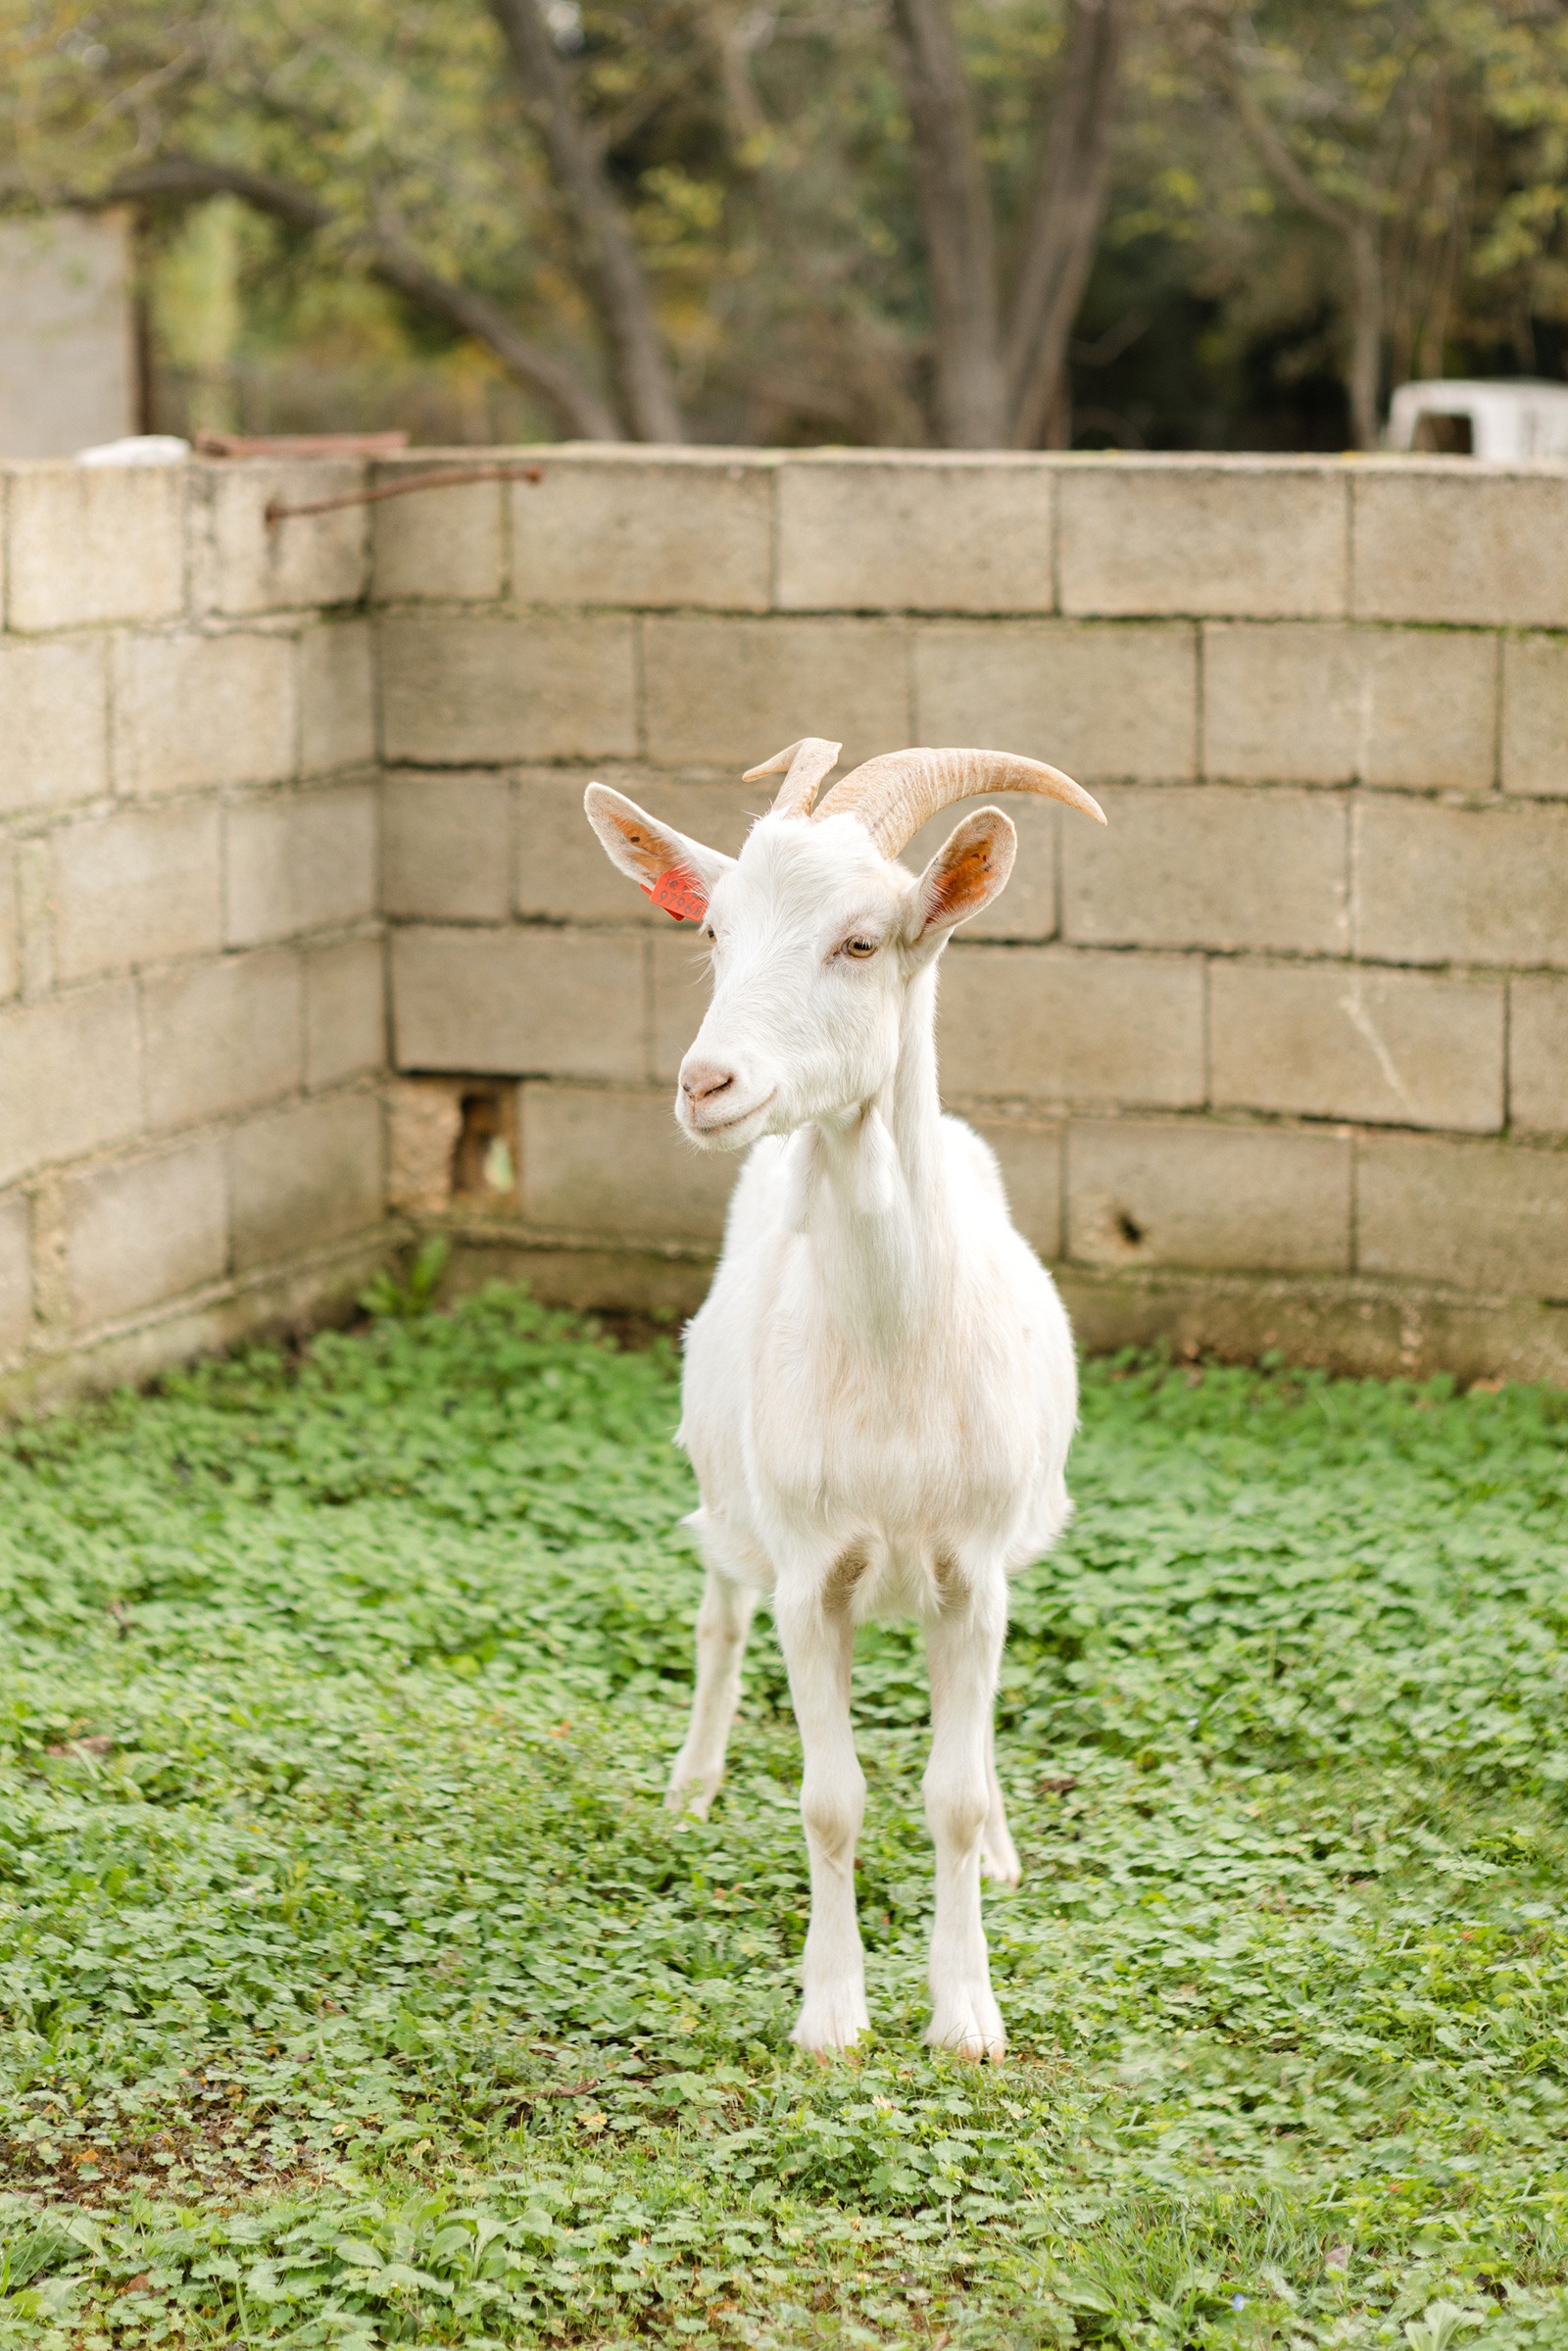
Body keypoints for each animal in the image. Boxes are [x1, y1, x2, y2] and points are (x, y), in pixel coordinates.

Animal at [584, 741, 1106, 2059]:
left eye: (861, 942)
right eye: (713, 928)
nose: (707, 1083)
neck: (892, 1363)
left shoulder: (973, 1564)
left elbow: (953, 1793)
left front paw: (967, 2011)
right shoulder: (811, 1567)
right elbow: (831, 1800)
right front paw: (832, 2013)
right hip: (734, 1510)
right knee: (718, 1615)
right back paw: (691, 1788)